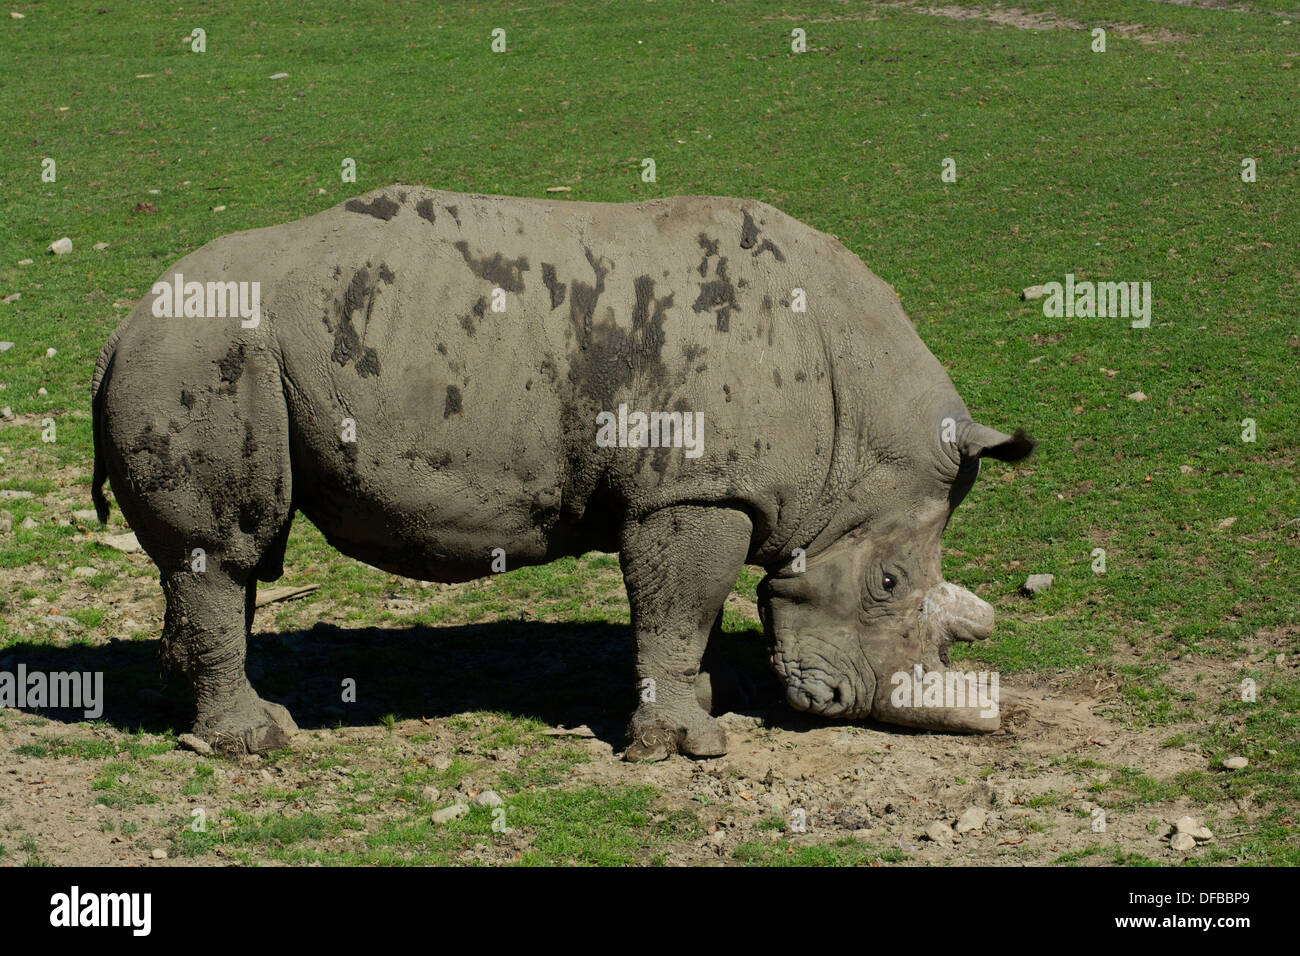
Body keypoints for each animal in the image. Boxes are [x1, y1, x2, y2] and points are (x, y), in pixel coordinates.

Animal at [91, 185, 1033, 758]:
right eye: (888, 583)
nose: (844, 705)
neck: (856, 419)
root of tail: (122, 325)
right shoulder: (694, 490)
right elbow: (678, 610)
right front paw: (688, 748)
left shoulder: (698, 490)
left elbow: (681, 620)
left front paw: (702, 709)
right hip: (202, 350)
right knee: (227, 549)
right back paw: (260, 741)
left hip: (214, 352)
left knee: (227, 558)